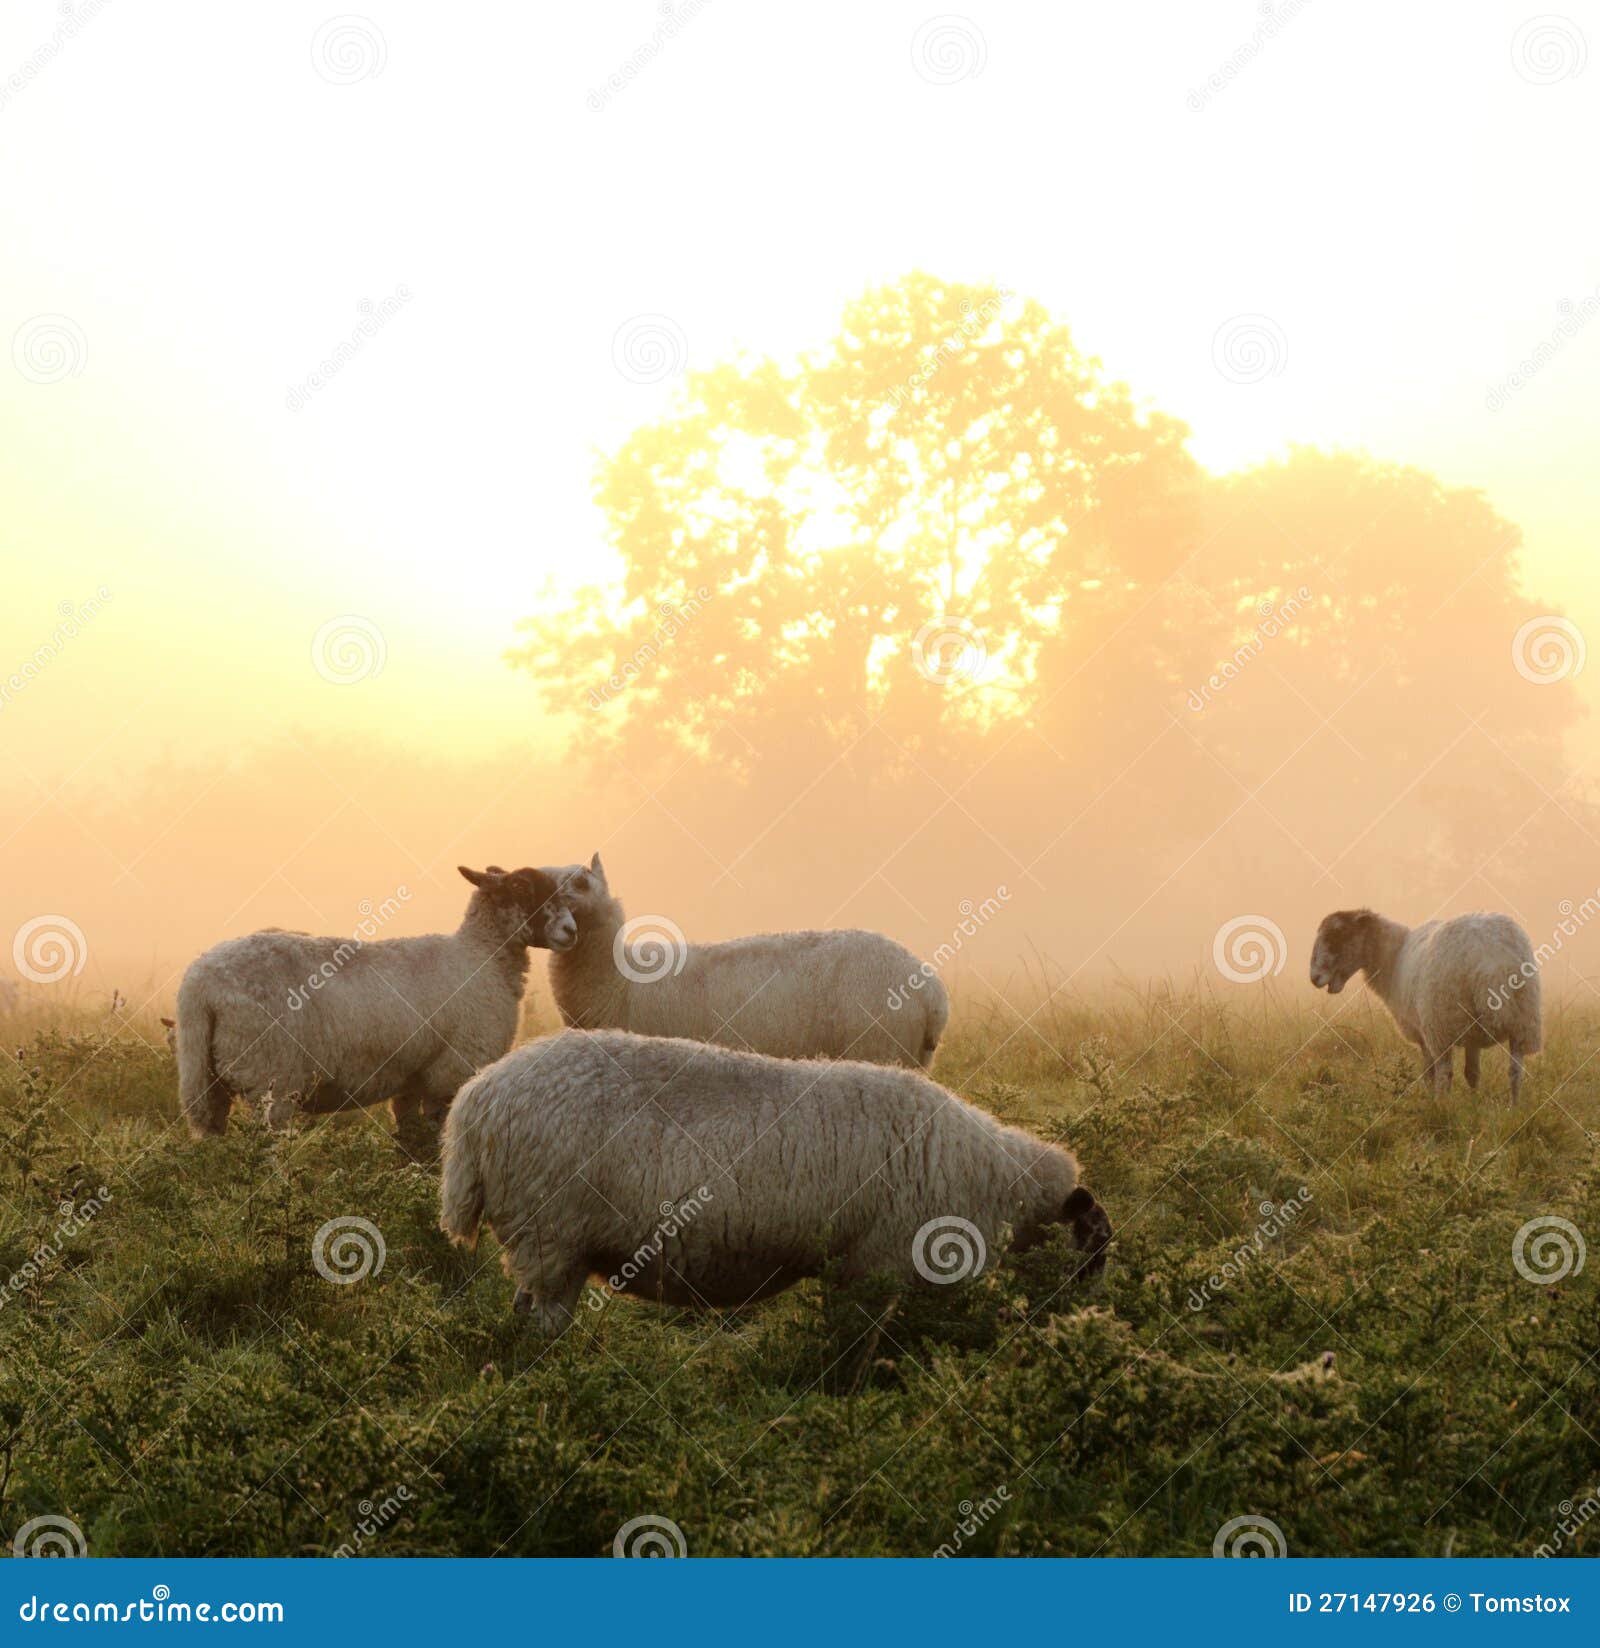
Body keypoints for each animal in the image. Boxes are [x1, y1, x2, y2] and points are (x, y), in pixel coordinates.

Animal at [175, 866, 577, 1146]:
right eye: (522, 888)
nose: (572, 931)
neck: (483, 957)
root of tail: (200, 985)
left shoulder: (414, 1077)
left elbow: (411, 1141)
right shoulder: (451, 1072)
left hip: (205, 1076)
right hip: (270, 1076)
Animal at [439, 1028, 1111, 1336]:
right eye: (1090, 1251)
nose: (1090, 1318)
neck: (999, 1180)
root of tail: (475, 1101)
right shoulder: (881, 1263)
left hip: (546, 1241)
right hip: (550, 1231)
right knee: (542, 1322)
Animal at [1309, 908, 1541, 1099]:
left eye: (1336, 936)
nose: (1314, 978)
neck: (1393, 956)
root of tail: (1491, 959)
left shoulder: (1423, 1033)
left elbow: (1429, 1074)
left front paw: (1431, 1100)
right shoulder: (1472, 1035)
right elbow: (1472, 1073)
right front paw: (1474, 1104)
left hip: (1441, 1022)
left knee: (1445, 1072)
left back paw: (1442, 1106)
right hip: (1523, 1020)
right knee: (1515, 1071)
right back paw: (1514, 1108)